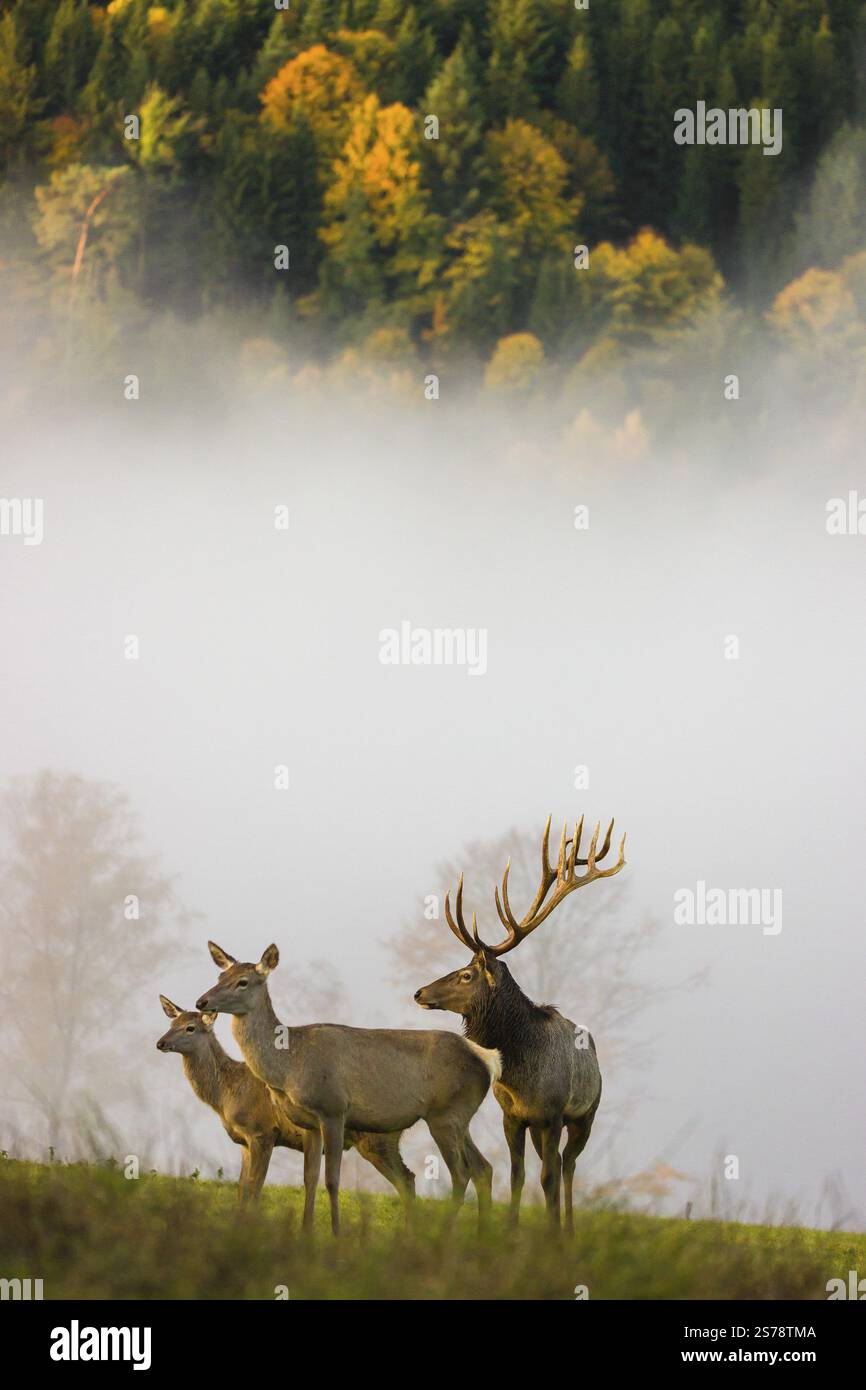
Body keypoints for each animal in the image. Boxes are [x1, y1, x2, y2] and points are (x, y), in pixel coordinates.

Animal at [156, 996, 416, 1208]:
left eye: (190, 1028)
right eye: (171, 1025)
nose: (160, 1043)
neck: (226, 1095)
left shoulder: (262, 1131)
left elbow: (254, 1190)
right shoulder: (244, 1142)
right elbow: (241, 1191)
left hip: (377, 1139)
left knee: (406, 1181)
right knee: (409, 1179)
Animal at [196, 941, 501, 1235]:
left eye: (243, 981)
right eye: (221, 976)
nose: (202, 1001)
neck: (289, 1066)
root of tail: (487, 1060)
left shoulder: (333, 1109)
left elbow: (332, 1179)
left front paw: (336, 1234)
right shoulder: (308, 1122)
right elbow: (309, 1178)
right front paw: (305, 1233)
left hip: (444, 1114)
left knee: (461, 1173)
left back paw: (444, 1235)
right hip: (459, 1117)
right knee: (482, 1167)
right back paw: (482, 1235)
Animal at [414, 815, 626, 1231]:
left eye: (466, 975)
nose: (420, 992)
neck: (521, 1075)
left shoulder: (553, 1114)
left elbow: (547, 1177)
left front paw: (552, 1234)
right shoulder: (512, 1116)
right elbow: (518, 1175)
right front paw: (510, 1231)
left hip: (586, 1114)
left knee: (567, 1166)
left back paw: (569, 1228)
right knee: (557, 1163)